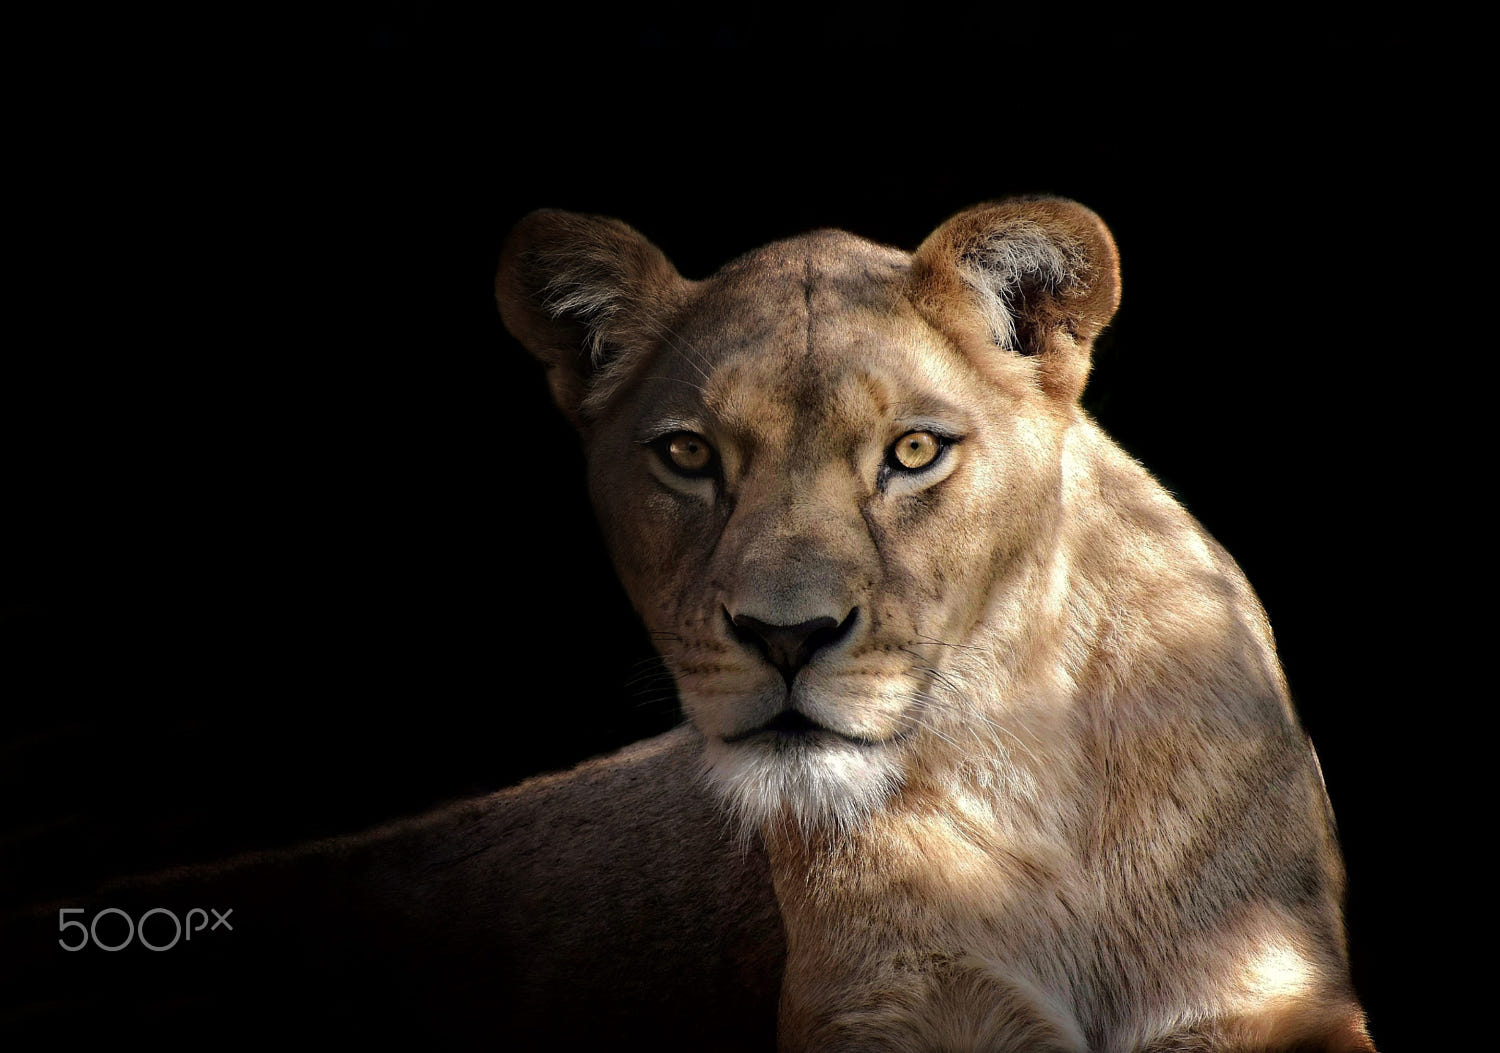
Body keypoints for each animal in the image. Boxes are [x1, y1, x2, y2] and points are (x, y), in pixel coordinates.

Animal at [493, 197, 1375, 1052]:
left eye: (915, 449)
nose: (786, 636)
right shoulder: (886, 1002)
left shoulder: (1274, 988)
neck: (1029, 766)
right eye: (687, 454)